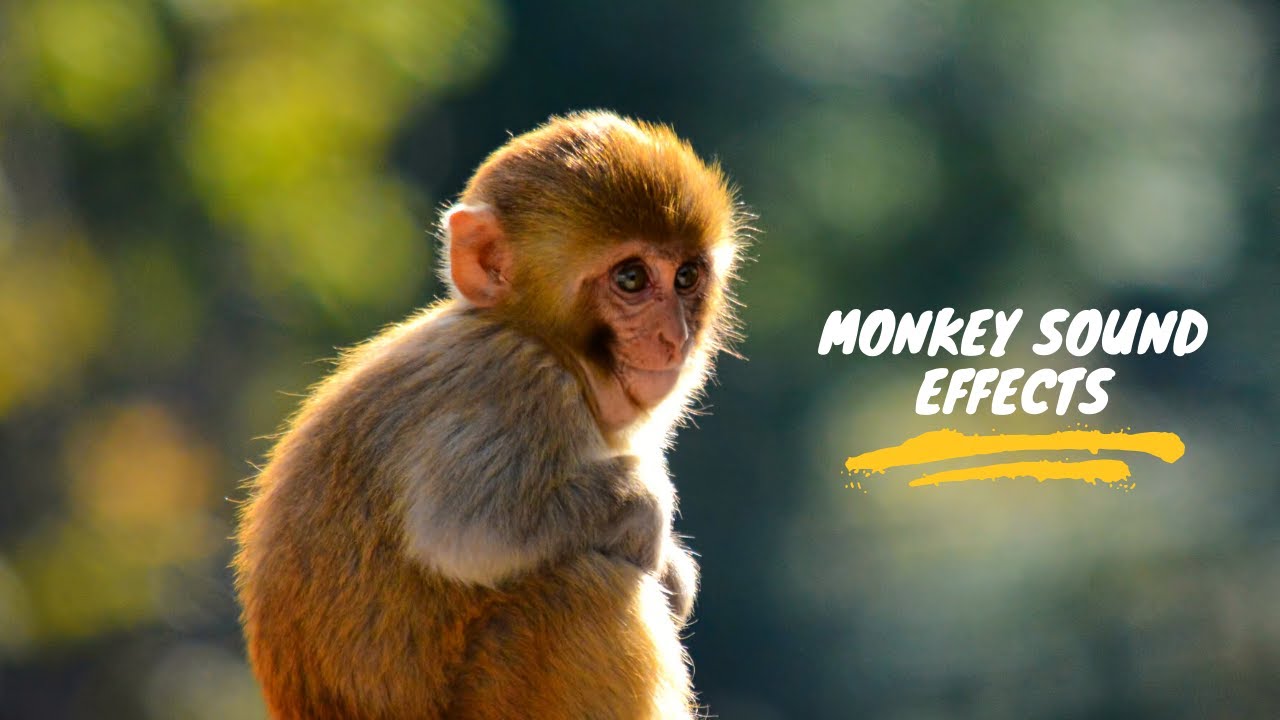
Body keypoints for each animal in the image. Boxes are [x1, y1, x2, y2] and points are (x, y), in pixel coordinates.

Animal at [234, 110, 747, 720]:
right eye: (631, 279)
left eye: (686, 277)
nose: (673, 337)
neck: (544, 342)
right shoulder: (514, 382)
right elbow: (468, 529)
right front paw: (648, 522)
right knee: (584, 587)